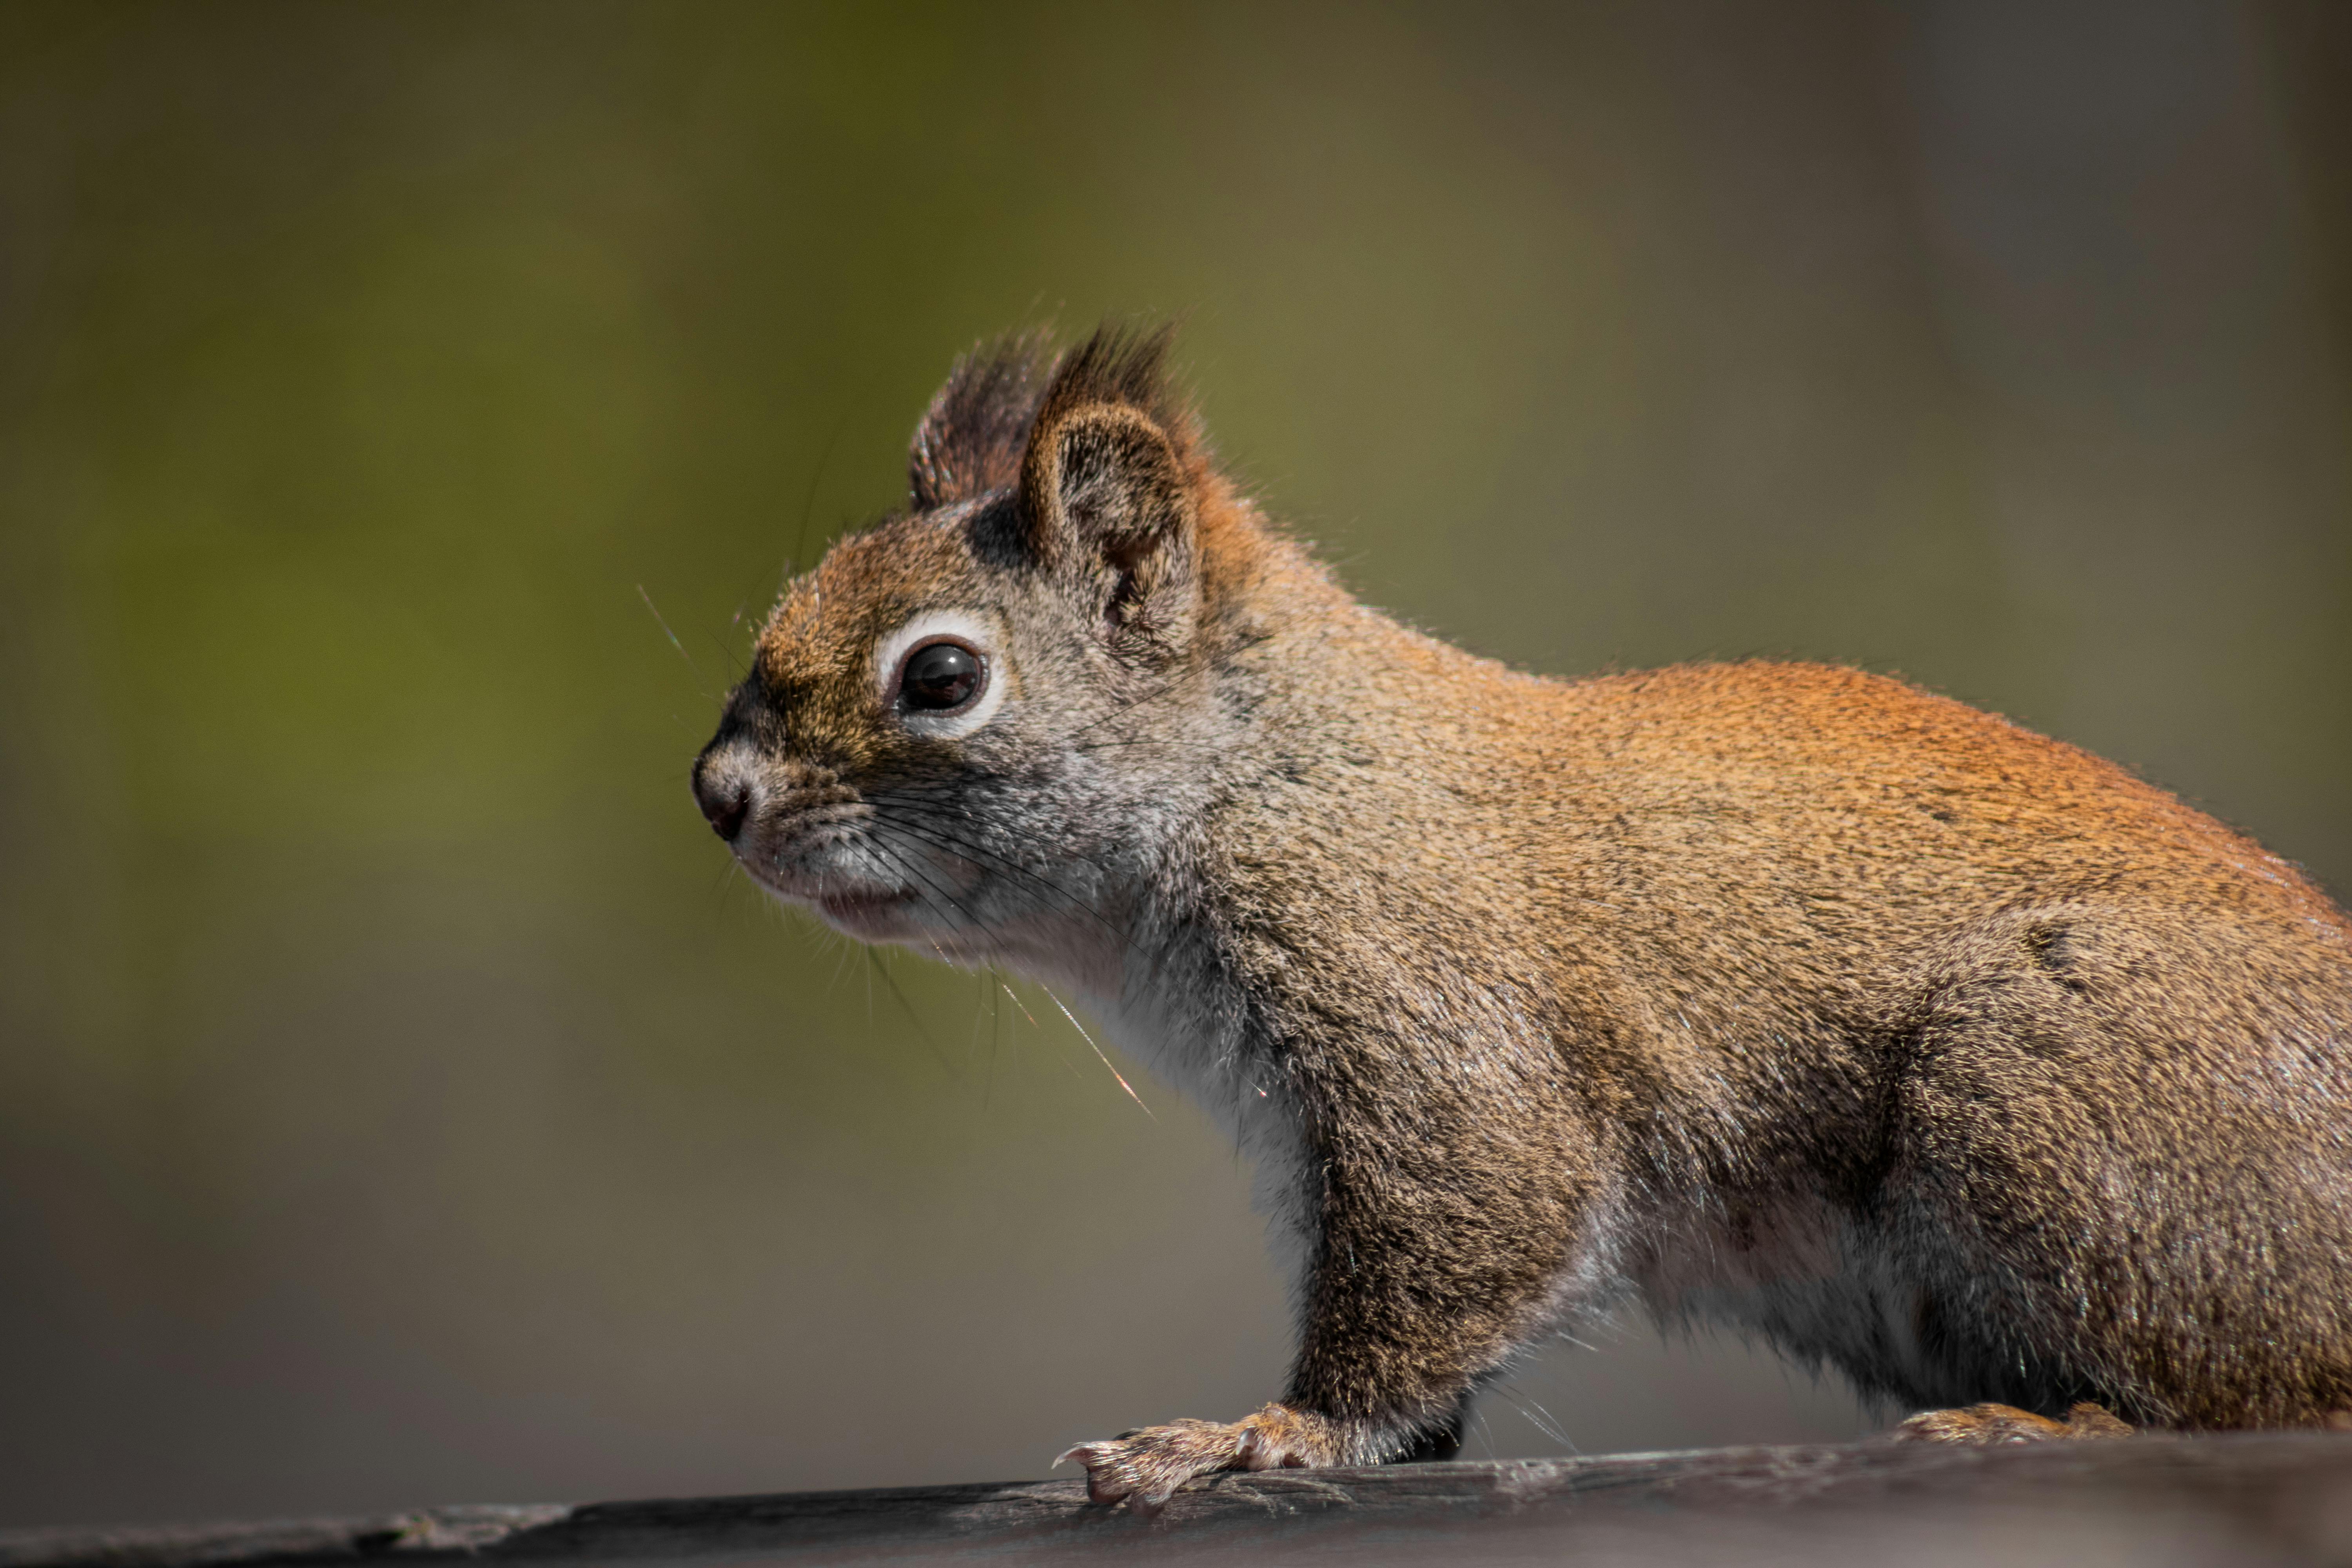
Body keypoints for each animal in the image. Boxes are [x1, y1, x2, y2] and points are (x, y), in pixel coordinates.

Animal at [691, 324, 2352, 1507]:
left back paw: (2033, 1424)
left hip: (2061, 1090)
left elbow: (1469, 1229)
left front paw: (1258, 1436)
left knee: (2272, 1395)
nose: (717, 792)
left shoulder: (1417, 1005)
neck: (1272, 768)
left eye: (942, 676)